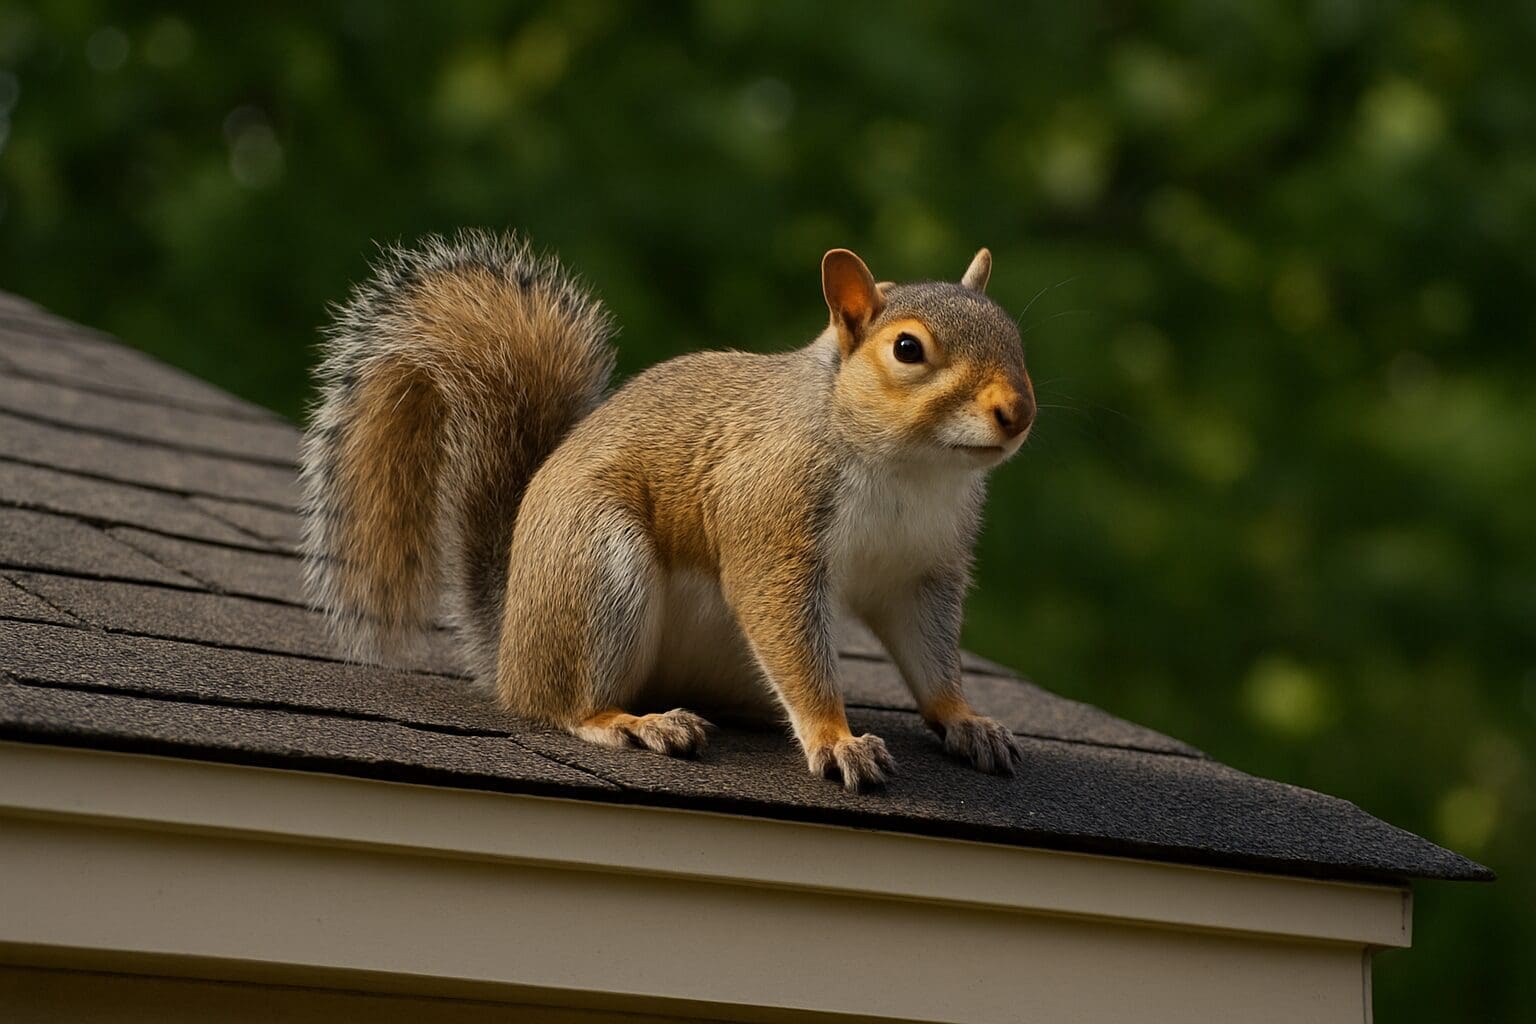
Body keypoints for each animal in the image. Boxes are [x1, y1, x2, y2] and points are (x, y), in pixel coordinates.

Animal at [301, 230, 1035, 790]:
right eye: (908, 349)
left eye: (1015, 336)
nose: (1018, 412)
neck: (912, 470)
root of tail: (509, 650)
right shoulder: (772, 523)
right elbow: (784, 624)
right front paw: (836, 738)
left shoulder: (921, 571)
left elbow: (928, 650)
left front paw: (964, 718)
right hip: (599, 567)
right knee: (566, 705)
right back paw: (634, 722)